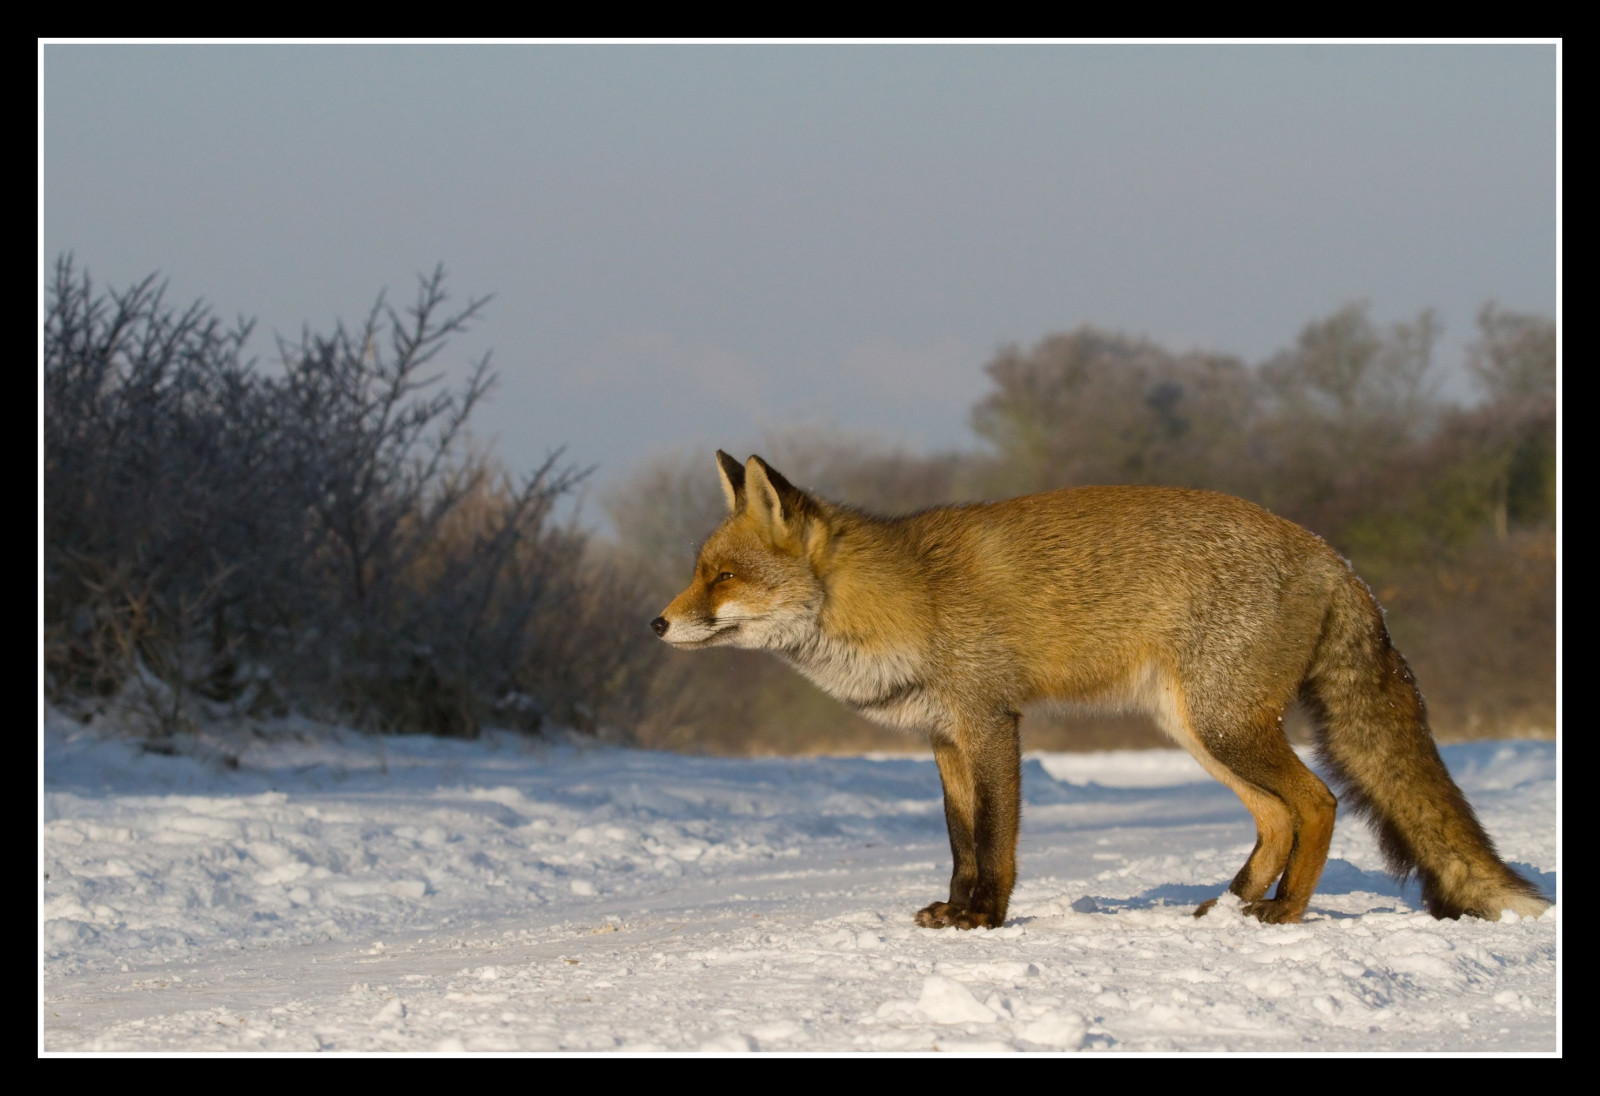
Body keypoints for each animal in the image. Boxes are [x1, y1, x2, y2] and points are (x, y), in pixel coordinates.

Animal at [651, 451, 1550, 929]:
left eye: (722, 577)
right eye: (698, 571)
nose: (655, 623)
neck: (900, 599)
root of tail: (1334, 555)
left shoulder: (990, 720)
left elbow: (996, 842)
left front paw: (984, 920)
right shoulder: (943, 737)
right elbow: (959, 840)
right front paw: (954, 912)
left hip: (1225, 727)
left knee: (1318, 803)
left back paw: (1281, 913)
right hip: (1198, 729)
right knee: (1276, 815)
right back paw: (1225, 907)